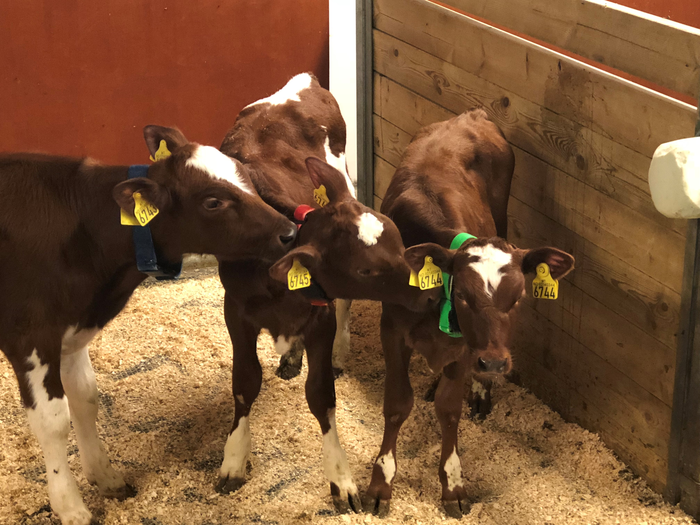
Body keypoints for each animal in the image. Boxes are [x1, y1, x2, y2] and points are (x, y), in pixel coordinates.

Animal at [0, 126, 298, 525]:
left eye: (246, 175)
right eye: (212, 202)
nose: (289, 232)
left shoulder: (72, 332)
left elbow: (85, 399)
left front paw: (105, 476)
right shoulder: (30, 338)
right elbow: (53, 421)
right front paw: (71, 507)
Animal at [215, 73, 437, 513]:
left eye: (400, 242)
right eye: (365, 268)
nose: (427, 294)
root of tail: (301, 82)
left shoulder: (320, 317)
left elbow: (320, 395)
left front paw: (341, 478)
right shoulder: (237, 311)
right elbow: (244, 382)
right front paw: (233, 459)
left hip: (346, 181)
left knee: (345, 306)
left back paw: (337, 354)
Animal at [364, 109, 575, 518]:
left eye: (518, 297)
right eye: (461, 295)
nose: (493, 363)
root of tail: (470, 115)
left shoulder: (466, 347)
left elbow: (449, 409)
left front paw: (453, 485)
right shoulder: (391, 329)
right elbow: (396, 404)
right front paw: (380, 484)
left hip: (501, 213)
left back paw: (478, 390)